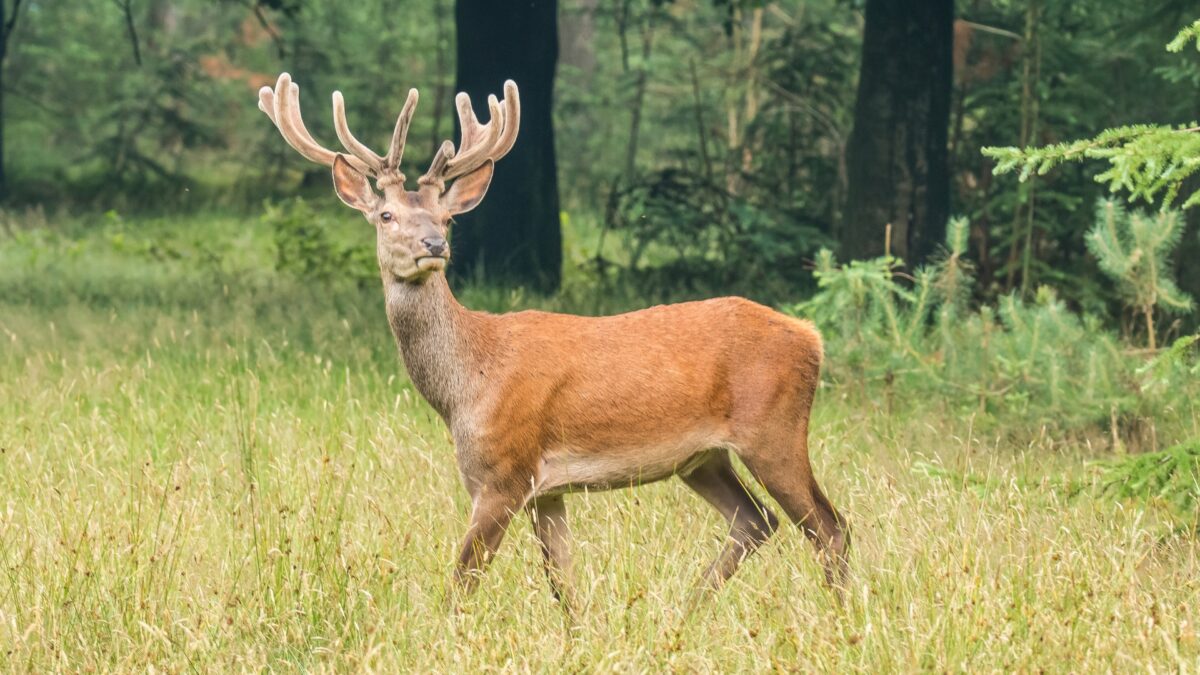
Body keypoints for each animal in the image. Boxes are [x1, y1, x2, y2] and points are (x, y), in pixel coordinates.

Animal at [256, 73, 849, 610]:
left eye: (447, 217)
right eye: (385, 215)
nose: (434, 245)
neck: (466, 384)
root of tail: (812, 337)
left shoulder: (504, 470)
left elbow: (462, 582)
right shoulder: (549, 490)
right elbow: (563, 584)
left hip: (773, 429)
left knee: (828, 524)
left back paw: (837, 613)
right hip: (703, 458)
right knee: (757, 520)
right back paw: (688, 608)